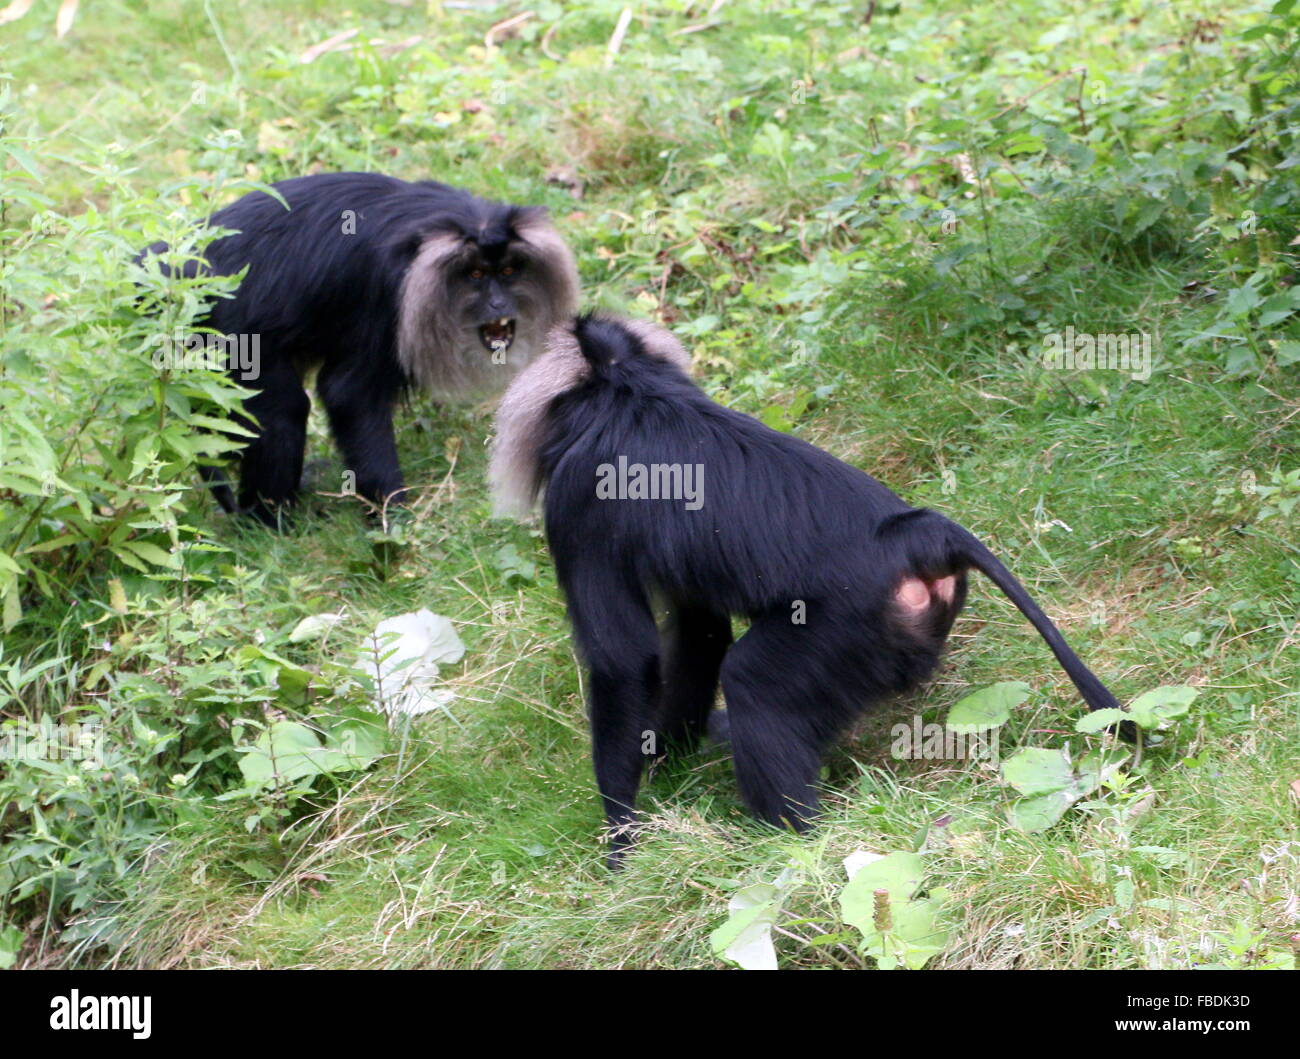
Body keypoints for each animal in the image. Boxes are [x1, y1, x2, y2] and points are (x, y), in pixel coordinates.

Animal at [139, 172, 579, 525]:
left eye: (508, 271)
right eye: (474, 275)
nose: (499, 305)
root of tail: (173, 267)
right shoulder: (386, 292)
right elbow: (348, 393)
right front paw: (393, 516)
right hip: (229, 338)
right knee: (281, 411)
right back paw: (266, 522)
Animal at [489, 314, 1129, 865]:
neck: (627, 386)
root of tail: (914, 536)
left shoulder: (575, 501)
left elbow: (622, 662)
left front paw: (622, 842)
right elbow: (699, 631)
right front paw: (669, 767)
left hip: (843, 629)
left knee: (753, 682)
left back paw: (787, 844)